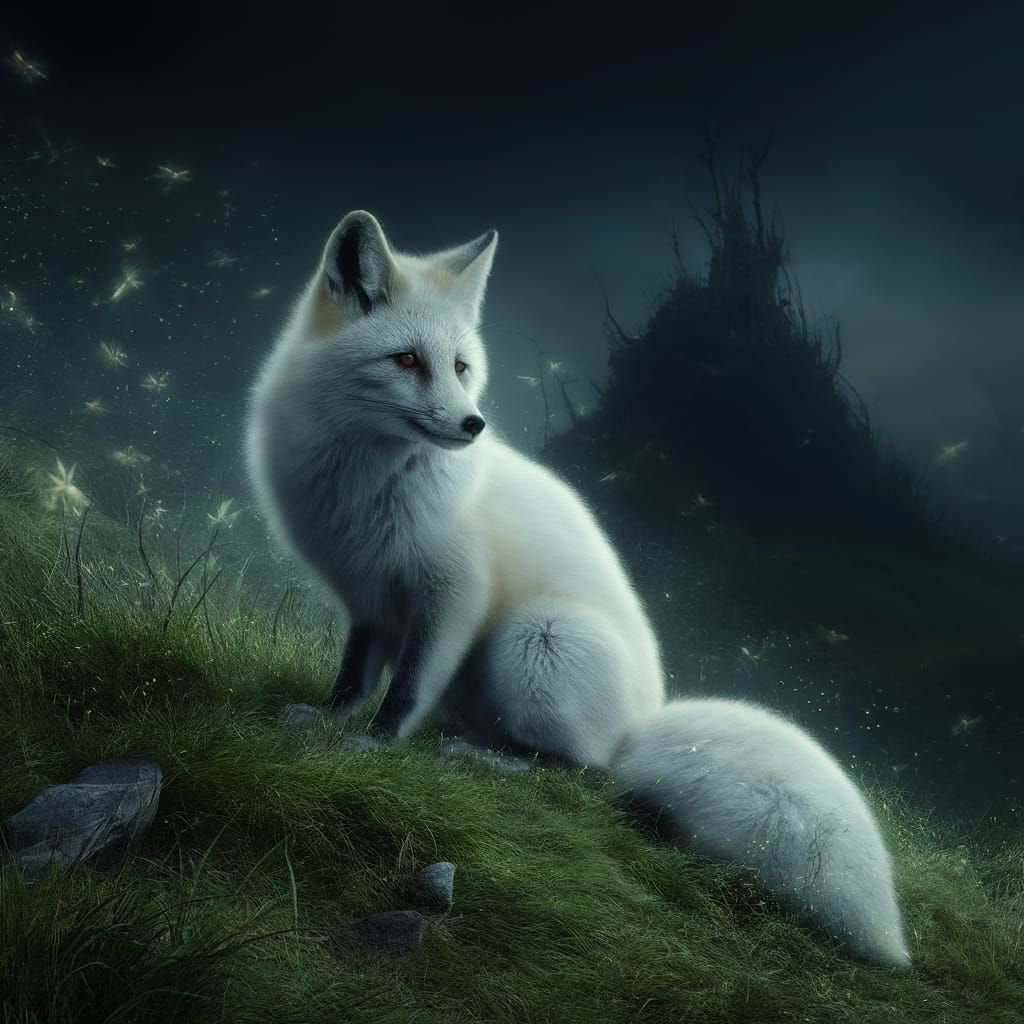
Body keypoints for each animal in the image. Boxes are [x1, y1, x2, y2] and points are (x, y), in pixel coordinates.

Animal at [245, 210, 910, 969]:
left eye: (462, 367)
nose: (473, 424)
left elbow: (405, 691)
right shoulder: (368, 599)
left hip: (534, 639)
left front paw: (374, 750)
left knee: (586, 774)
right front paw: (323, 724)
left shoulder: (452, 595)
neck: (365, 477)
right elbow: (353, 681)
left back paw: (480, 761)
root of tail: (642, 722)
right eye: (407, 361)